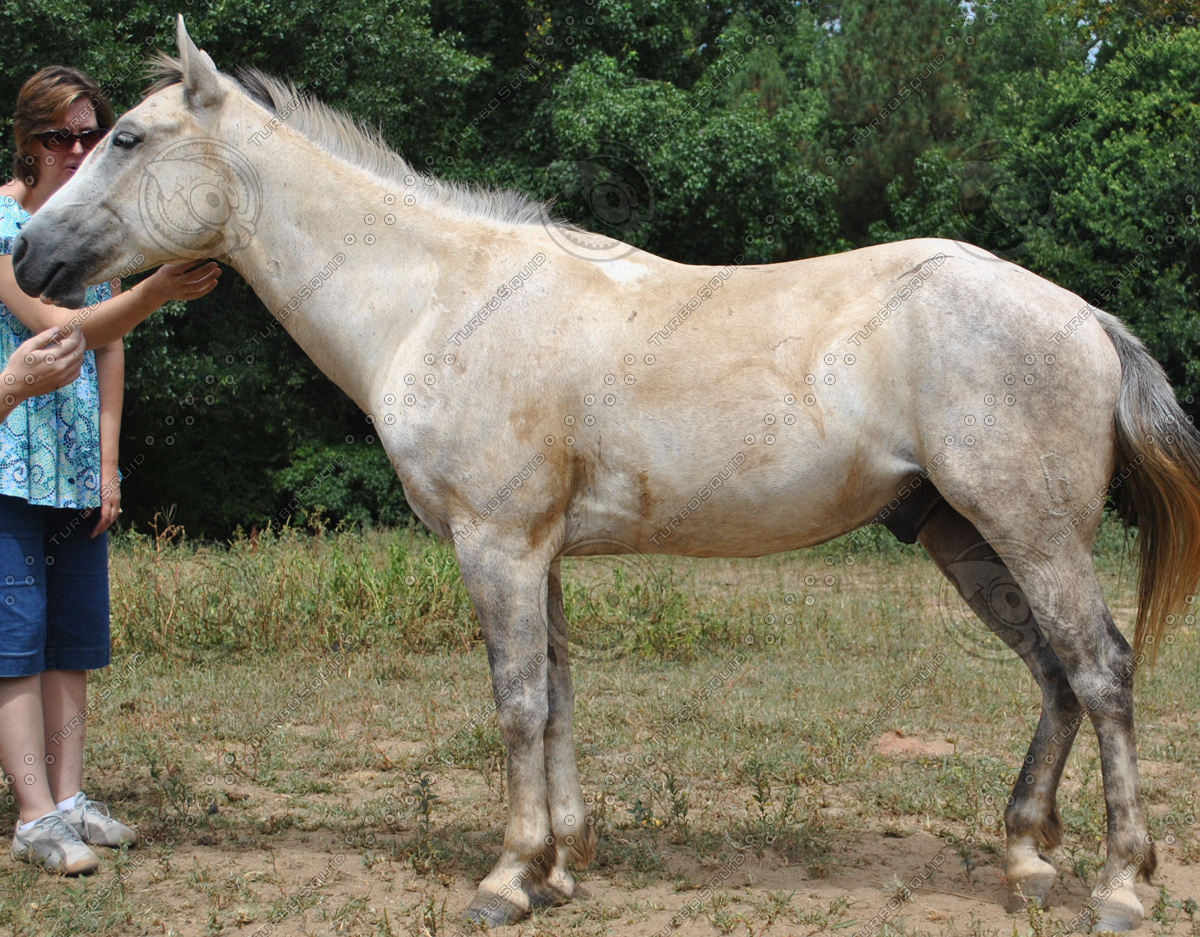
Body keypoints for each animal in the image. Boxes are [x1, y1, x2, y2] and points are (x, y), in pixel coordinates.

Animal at [14, 16, 1200, 930]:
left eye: (127, 137)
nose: (26, 254)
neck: (440, 299)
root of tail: (1081, 314)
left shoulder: (495, 544)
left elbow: (517, 703)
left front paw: (505, 879)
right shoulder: (536, 552)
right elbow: (560, 698)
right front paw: (560, 865)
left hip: (1030, 528)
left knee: (1099, 670)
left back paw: (1118, 887)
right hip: (964, 534)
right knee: (1053, 675)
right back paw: (1028, 857)